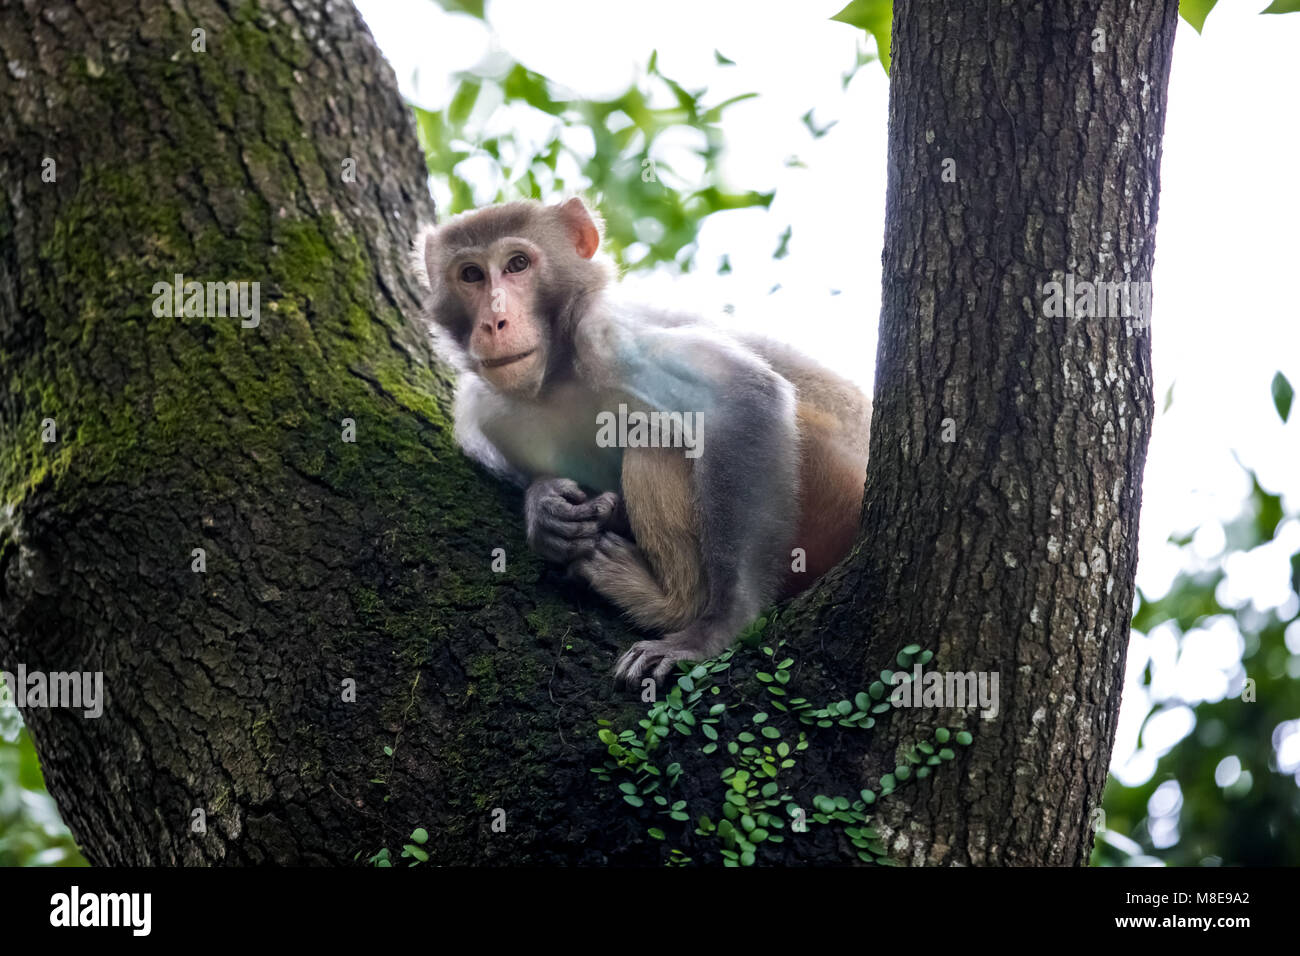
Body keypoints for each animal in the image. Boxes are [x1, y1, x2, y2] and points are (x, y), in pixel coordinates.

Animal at [413, 197, 871, 684]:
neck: (557, 377)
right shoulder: (490, 413)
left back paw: (668, 603)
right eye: (471, 275)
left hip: (830, 491)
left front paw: (718, 628)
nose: (494, 322)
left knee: (657, 431)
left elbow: (743, 396)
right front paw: (546, 509)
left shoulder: (606, 336)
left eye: (517, 264)